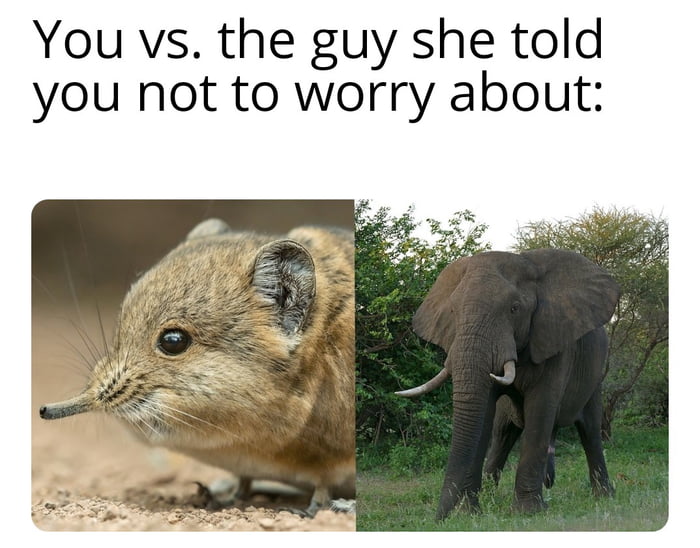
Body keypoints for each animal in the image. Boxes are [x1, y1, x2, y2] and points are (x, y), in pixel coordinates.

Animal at [396, 249, 619, 519]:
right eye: (453, 312)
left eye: (515, 308)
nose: (438, 520)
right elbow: (484, 416)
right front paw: (469, 513)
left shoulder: (554, 340)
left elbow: (540, 410)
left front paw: (528, 512)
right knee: (502, 434)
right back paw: (491, 495)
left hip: (594, 375)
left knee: (590, 430)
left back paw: (604, 496)